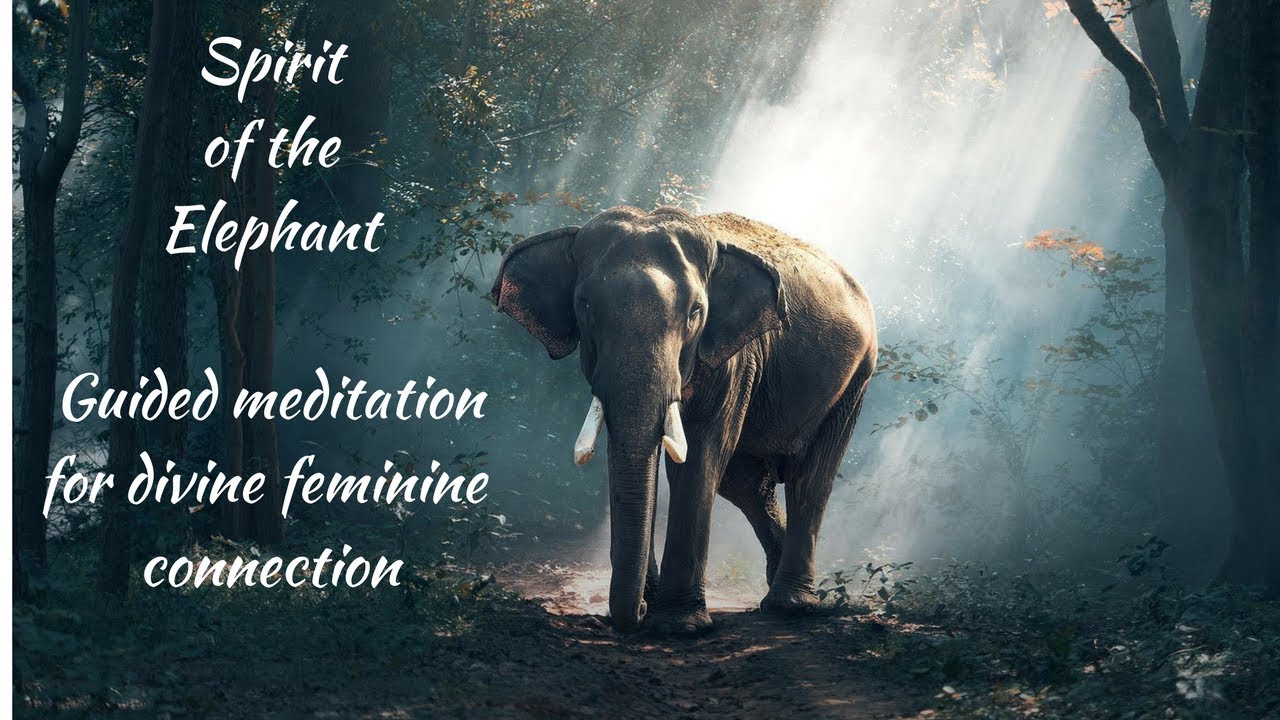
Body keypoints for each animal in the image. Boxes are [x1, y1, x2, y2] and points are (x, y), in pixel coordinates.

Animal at [491, 205, 876, 634]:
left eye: (695, 312)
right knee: (746, 483)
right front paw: (654, 605)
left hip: (856, 377)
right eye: (585, 306)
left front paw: (678, 625)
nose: (637, 612)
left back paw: (791, 605)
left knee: (809, 476)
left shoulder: (735, 359)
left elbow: (699, 457)